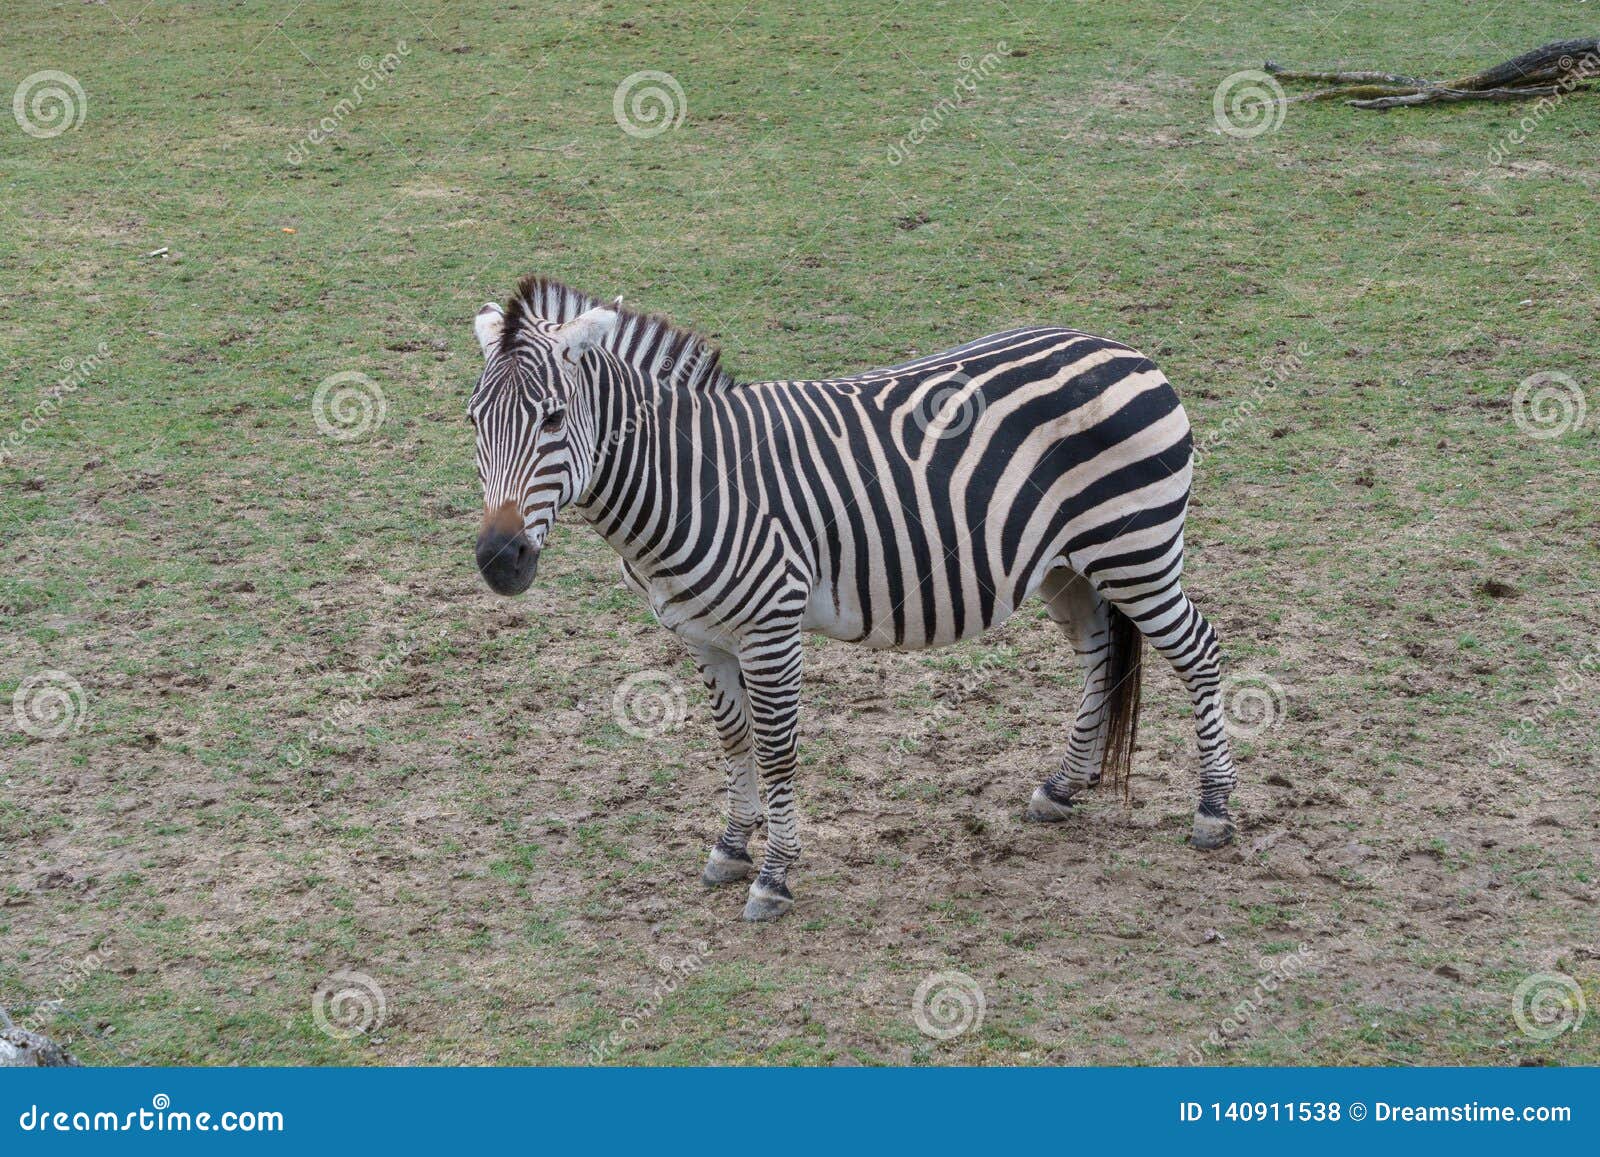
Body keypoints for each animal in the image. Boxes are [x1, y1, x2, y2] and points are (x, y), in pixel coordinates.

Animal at [469, 276, 1239, 921]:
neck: (692, 481)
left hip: (1136, 549)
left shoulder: (771, 629)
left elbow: (777, 749)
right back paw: (1063, 786)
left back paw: (1214, 810)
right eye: (474, 421)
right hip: (1069, 565)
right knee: (1101, 656)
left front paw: (774, 876)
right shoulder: (703, 636)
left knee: (1200, 651)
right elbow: (734, 739)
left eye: (553, 419)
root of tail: (1123, 347)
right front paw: (730, 847)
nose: (499, 562)